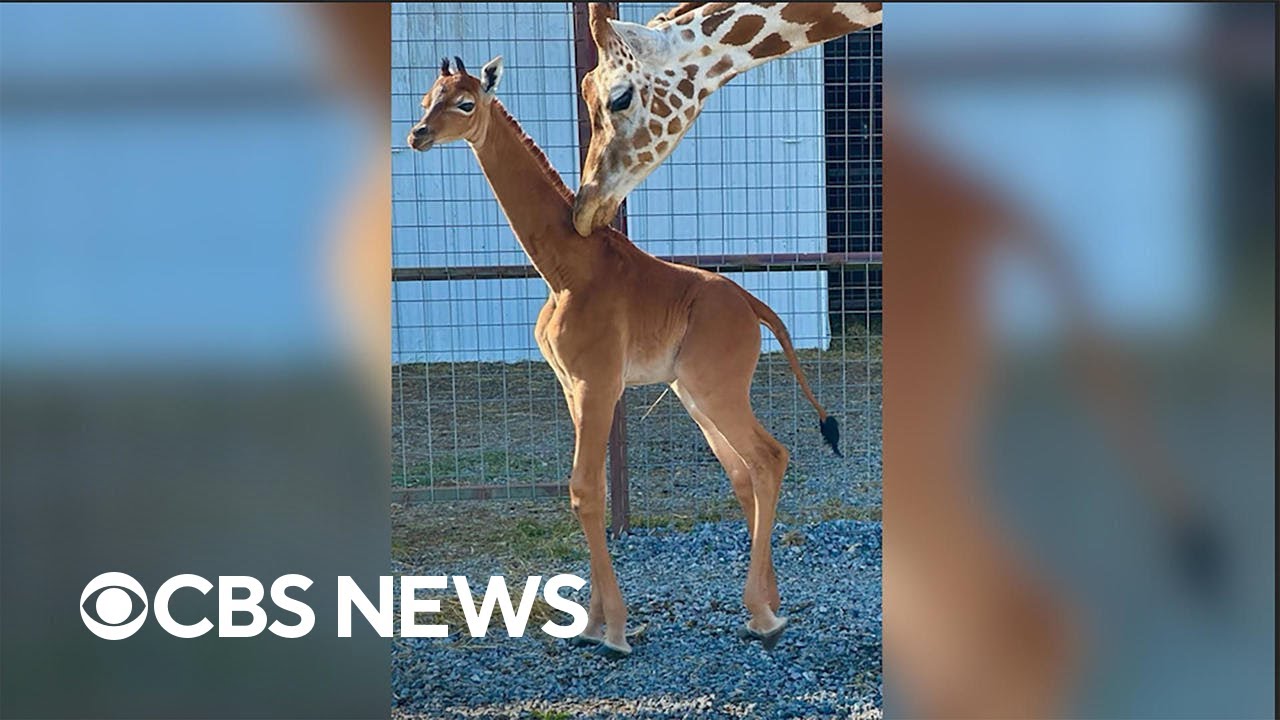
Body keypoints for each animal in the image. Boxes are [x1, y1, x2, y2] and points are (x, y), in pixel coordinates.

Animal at [407, 56, 841, 656]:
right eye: (427, 97)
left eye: (466, 103)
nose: (417, 135)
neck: (565, 269)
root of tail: (754, 306)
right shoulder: (572, 386)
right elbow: (590, 491)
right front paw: (590, 623)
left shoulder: (598, 383)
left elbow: (585, 490)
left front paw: (612, 628)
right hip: (693, 394)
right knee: (742, 470)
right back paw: (770, 604)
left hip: (716, 388)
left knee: (768, 457)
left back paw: (763, 615)